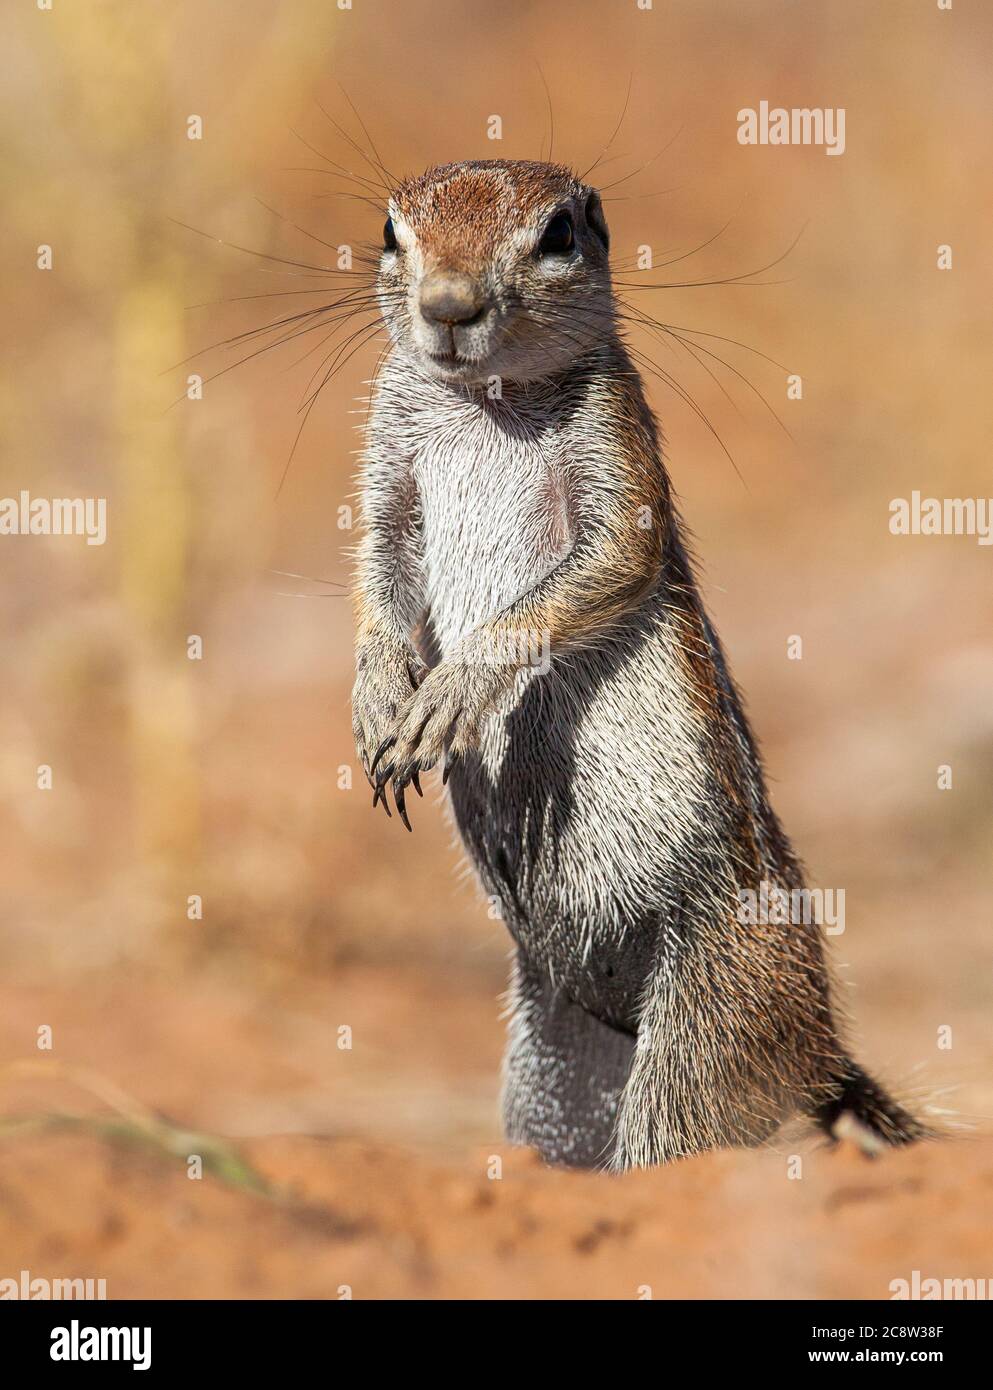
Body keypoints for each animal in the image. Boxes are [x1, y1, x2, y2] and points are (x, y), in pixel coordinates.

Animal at [350, 158, 926, 1169]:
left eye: (556, 236)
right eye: (391, 231)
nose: (447, 305)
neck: (483, 398)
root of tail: (824, 1049)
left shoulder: (615, 449)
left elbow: (598, 568)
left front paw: (452, 693)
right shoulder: (388, 471)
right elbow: (377, 573)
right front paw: (379, 693)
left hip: (702, 1031)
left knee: (679, 1137)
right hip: (552, 1068)